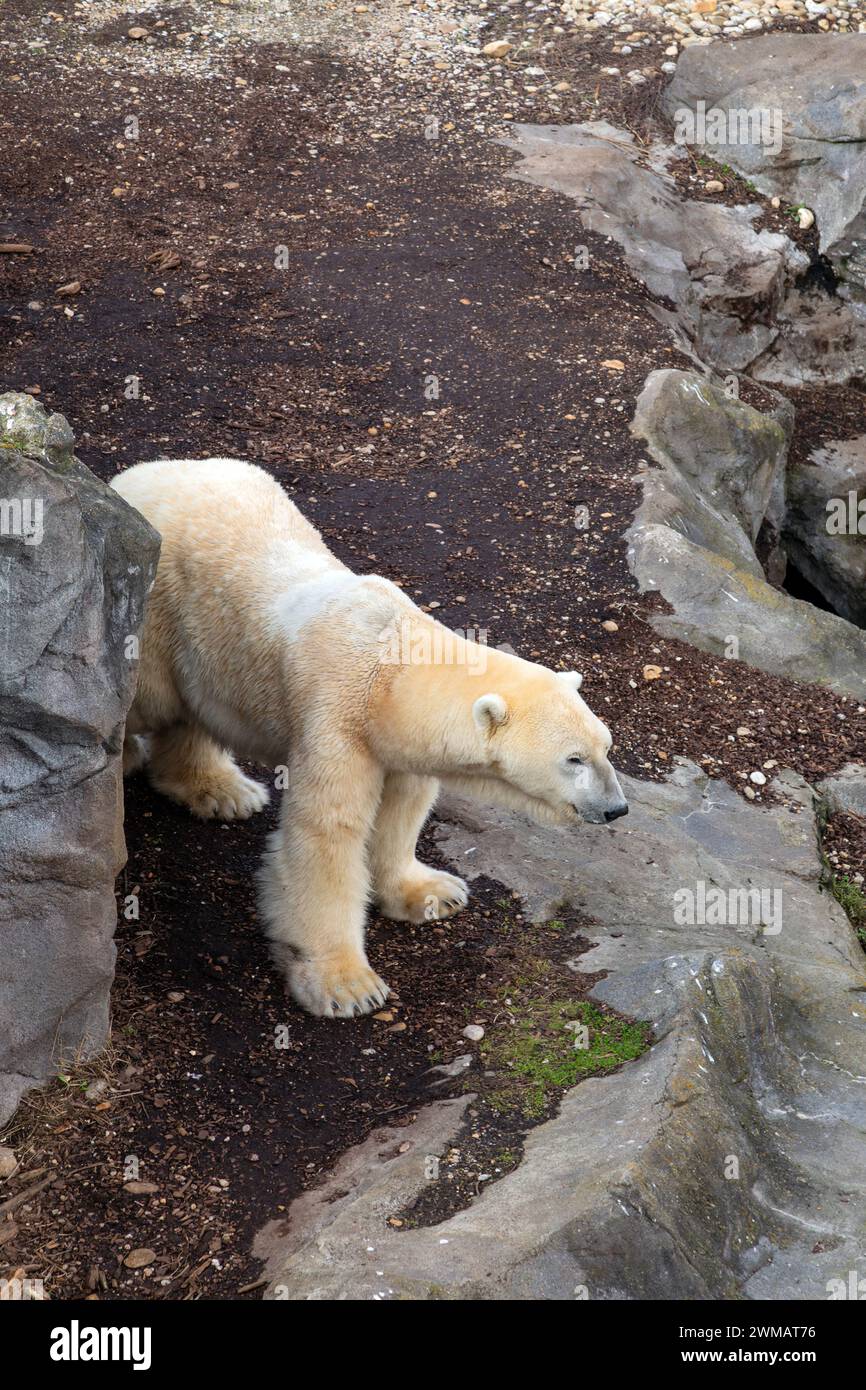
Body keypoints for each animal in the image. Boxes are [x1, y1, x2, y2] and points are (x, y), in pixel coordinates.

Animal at [111, 458, 628, 1018]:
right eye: (573, 759)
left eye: (606, 748)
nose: (616, 808)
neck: (388, 665)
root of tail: (138, 475)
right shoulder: (337, 719)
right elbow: (327, 835)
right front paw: (348, 987)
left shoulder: (394, 742)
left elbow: (402, 808)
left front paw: (432, 892)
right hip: (161, 607)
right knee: (147, 696)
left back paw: (223, 790)